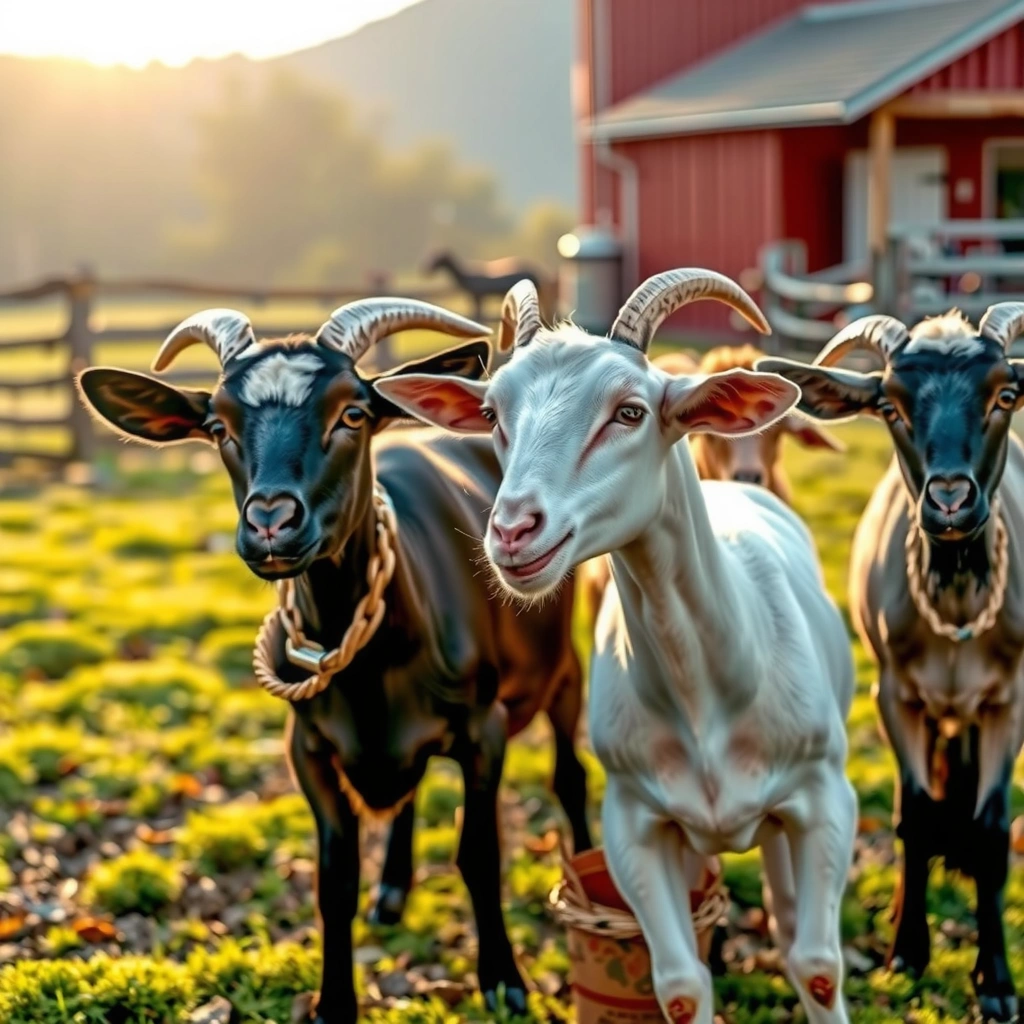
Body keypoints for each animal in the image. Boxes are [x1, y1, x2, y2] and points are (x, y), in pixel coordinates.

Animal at [76, 299, 592, 1024]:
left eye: (352, 413)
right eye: (218, 426)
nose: (271, 520)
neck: (374, 669)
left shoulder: (483, 728)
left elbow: (479, 854)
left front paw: (503, 980)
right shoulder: (309, 747)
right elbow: (334, 879)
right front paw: (335, 1001)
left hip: (563, 667)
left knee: (570, 774)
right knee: (408, 793)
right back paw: (394, 891)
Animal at [375, 270, 858, 1024]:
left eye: (629, 412)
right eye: (491, 414)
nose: (512, 530)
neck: (711, 686)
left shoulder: (828, 799)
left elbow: (815, 966)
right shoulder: (634, 823)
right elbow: (681, 984)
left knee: (784, 913)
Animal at [759, 305, 1024, 1023]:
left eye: (1006, 395)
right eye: (888, 405)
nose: (951, 498)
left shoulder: (1010, 701)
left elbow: (992, 830)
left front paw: (995, 980)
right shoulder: (893, 696)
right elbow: (914, 817)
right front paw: (907, 950)